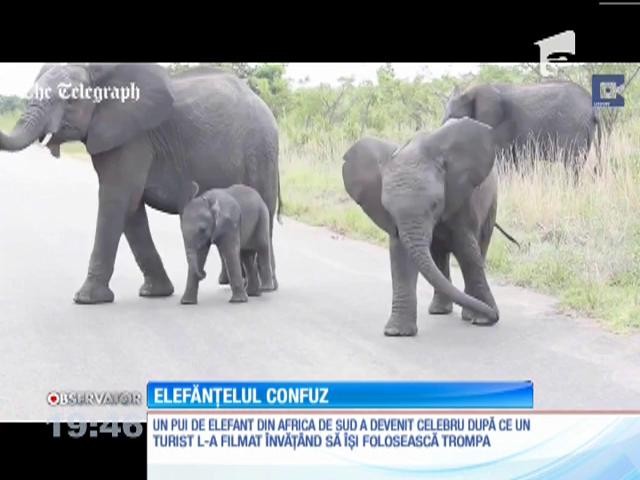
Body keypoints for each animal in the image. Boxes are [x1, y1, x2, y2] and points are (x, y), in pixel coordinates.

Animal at [0, 63, 281, 304]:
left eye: (70, 99)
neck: (97, 71)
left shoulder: (133, 139)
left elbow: (117, 199)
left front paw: (85, 299)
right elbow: (131, 209)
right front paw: (155, 293)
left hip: (261, 150)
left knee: (265, 214)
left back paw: (266, 288)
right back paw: (234, 283)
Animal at [342, 117, 506, 336]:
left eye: (435, 204)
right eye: (388, 209)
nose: (494, 316)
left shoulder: (461, 198)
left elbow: (467, 251)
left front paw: (481, 320)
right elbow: (400, 257)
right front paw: (396, 332)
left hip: (492, 200)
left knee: (480, 245)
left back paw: (465, 314)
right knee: (437, 254)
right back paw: (439, 310)